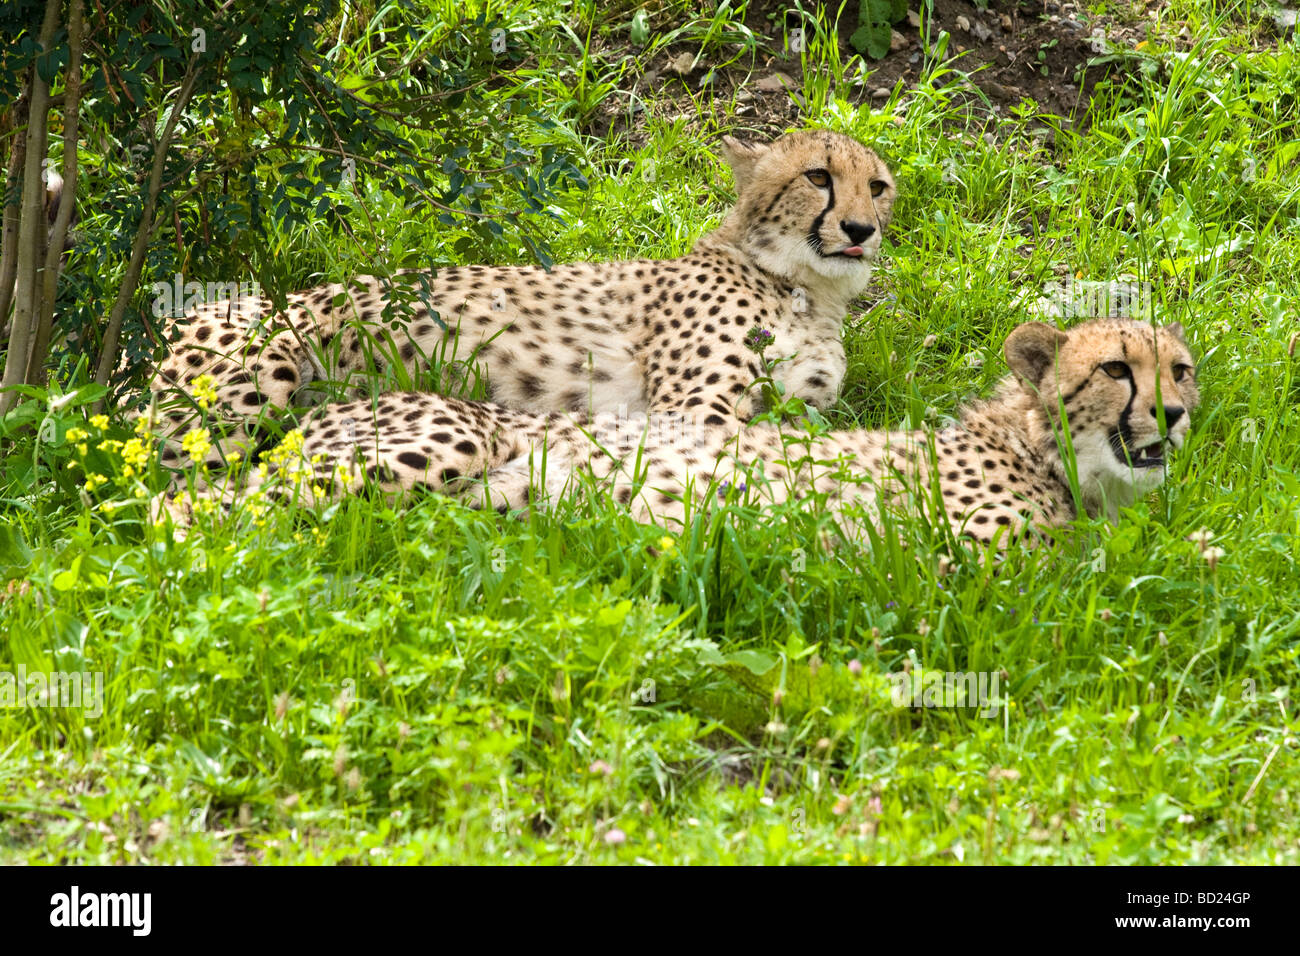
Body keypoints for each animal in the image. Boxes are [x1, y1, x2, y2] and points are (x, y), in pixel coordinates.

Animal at [143, 129, 896, 470]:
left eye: (877, 187)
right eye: (819, 177)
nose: (861, 230)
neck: (805, 288)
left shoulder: (803, 403)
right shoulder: (692, 408)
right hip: (251, 380)